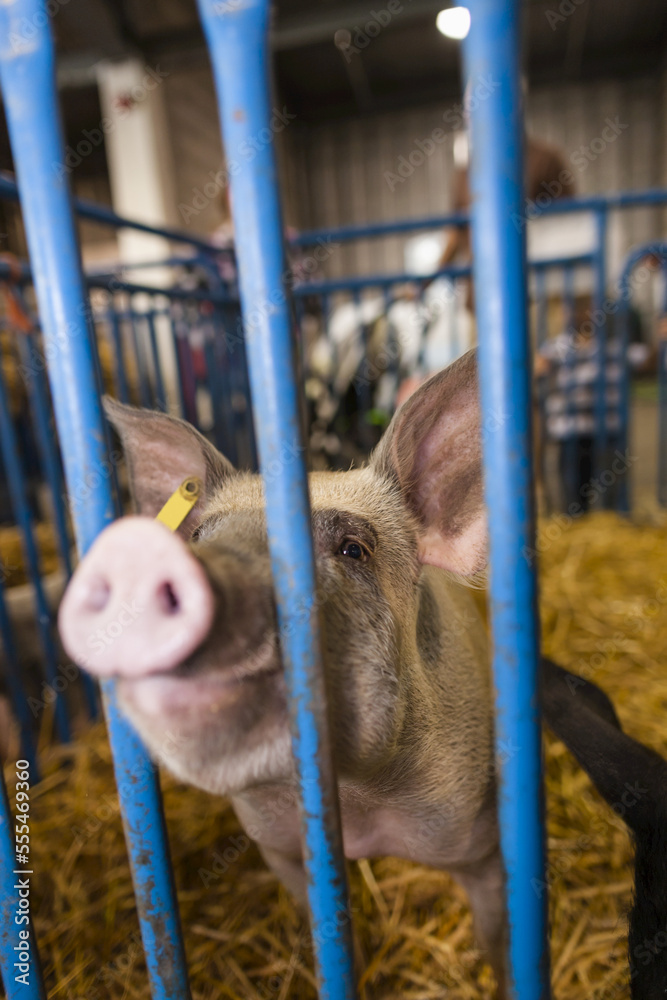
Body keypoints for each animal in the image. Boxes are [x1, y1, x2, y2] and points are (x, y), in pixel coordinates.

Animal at [57, 349, 654, 997]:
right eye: (195, 536)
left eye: (352, 550)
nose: (156, 572)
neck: (359, 804)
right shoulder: (279, 849)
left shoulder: (484, 839)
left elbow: (498, 936)